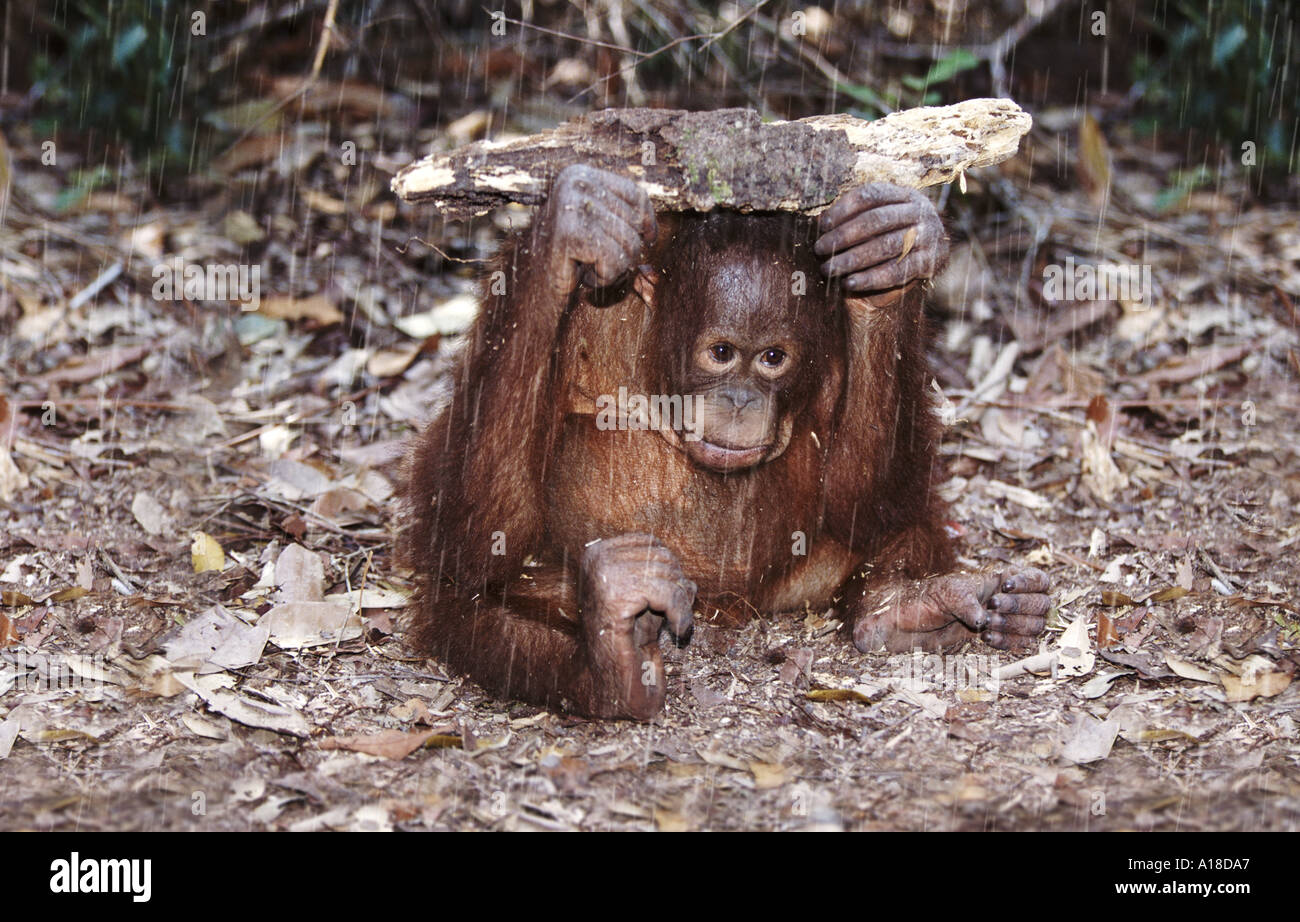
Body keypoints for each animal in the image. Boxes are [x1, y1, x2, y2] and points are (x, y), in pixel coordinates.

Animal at [401, 164, 1050, 719]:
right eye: (720, 352)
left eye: (772, 359)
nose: (740, 401)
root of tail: (733, 612)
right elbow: (473, 539)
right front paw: (572, 227)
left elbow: (862, 503)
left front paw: (893, 251)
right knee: (466, 609)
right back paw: (613, 661)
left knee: (904, 528)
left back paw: (914, 609)